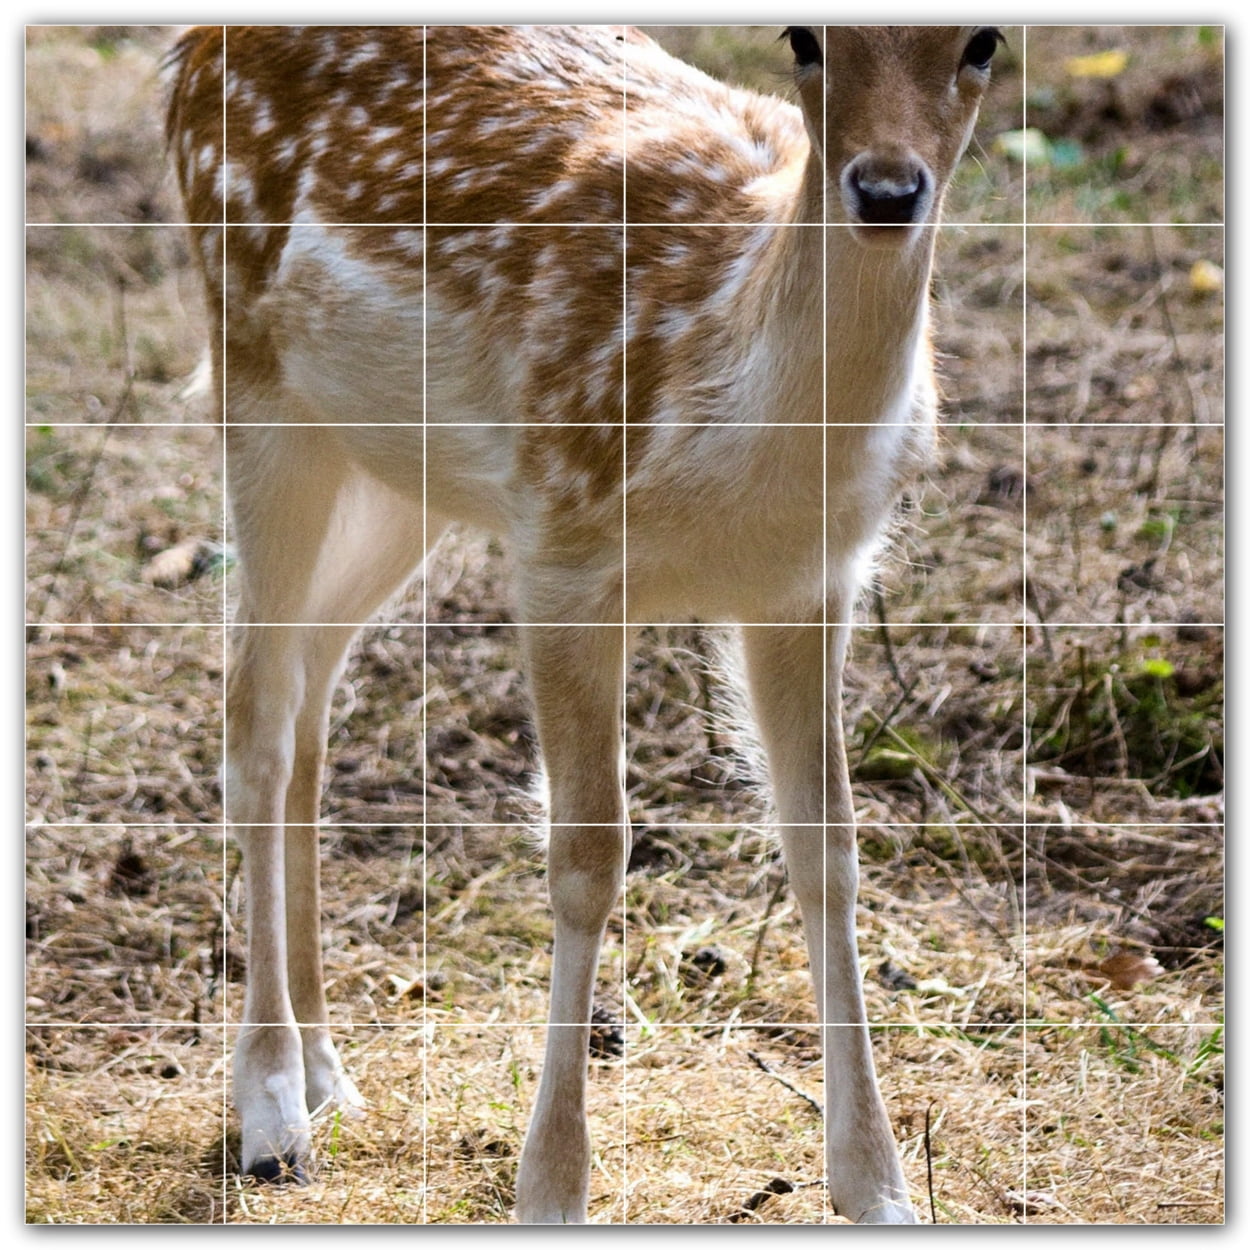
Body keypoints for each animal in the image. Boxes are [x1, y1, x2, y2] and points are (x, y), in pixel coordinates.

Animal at [166, 23, 1003, 1224]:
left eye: (981, 42)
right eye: (804, 38)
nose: (886, 190)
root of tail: (188, 46)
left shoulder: (811, 578)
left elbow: (829, 847)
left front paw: (879, 1188)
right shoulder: (562, 544)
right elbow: (586, 854)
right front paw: (551, 1186)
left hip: (400, 474)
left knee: (310, 697)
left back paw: (328, 1072)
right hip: (257, 377)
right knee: (253, 715)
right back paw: (273, 1110)